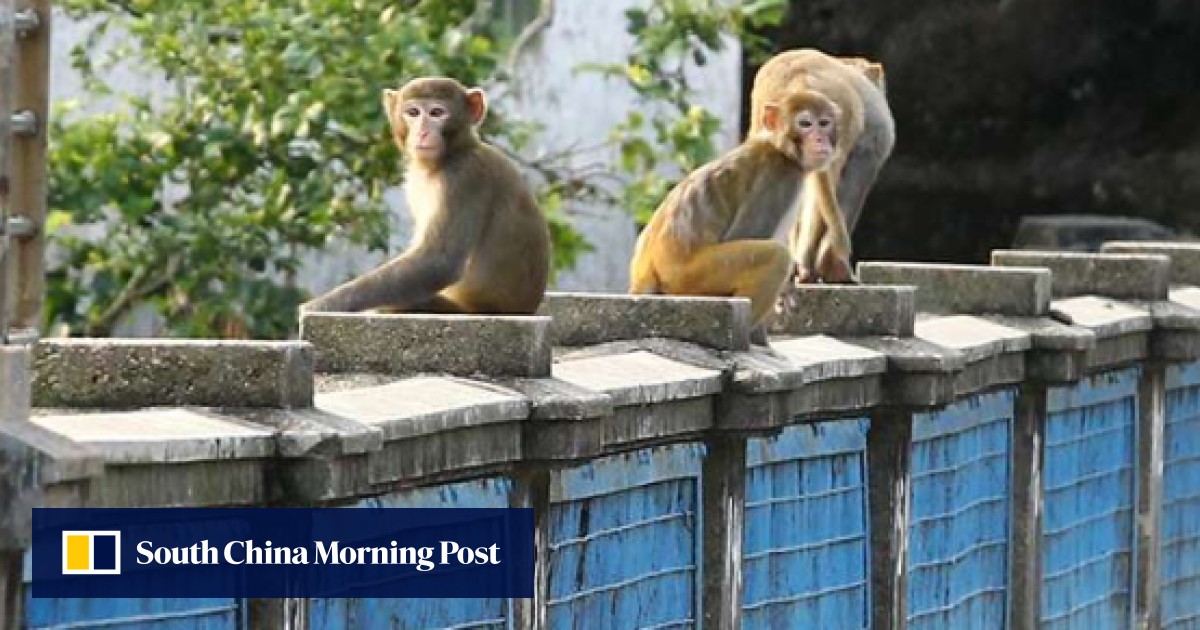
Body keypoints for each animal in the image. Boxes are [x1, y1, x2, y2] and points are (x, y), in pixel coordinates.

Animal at [301, 77, 551, 316]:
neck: (453, 152)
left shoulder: (464, 176)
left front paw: (323, 305)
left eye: (437, 113)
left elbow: (438, 261)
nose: (422, 131)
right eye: (413, 113)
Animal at [628, 89, 841, 328]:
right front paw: (787, 284)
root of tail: (646, 271)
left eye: (824, 123)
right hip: (691, 276)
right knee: (776, 256)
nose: (820, 138)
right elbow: (745, 234)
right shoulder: (778, 177)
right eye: (805, 124)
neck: (780, 149)